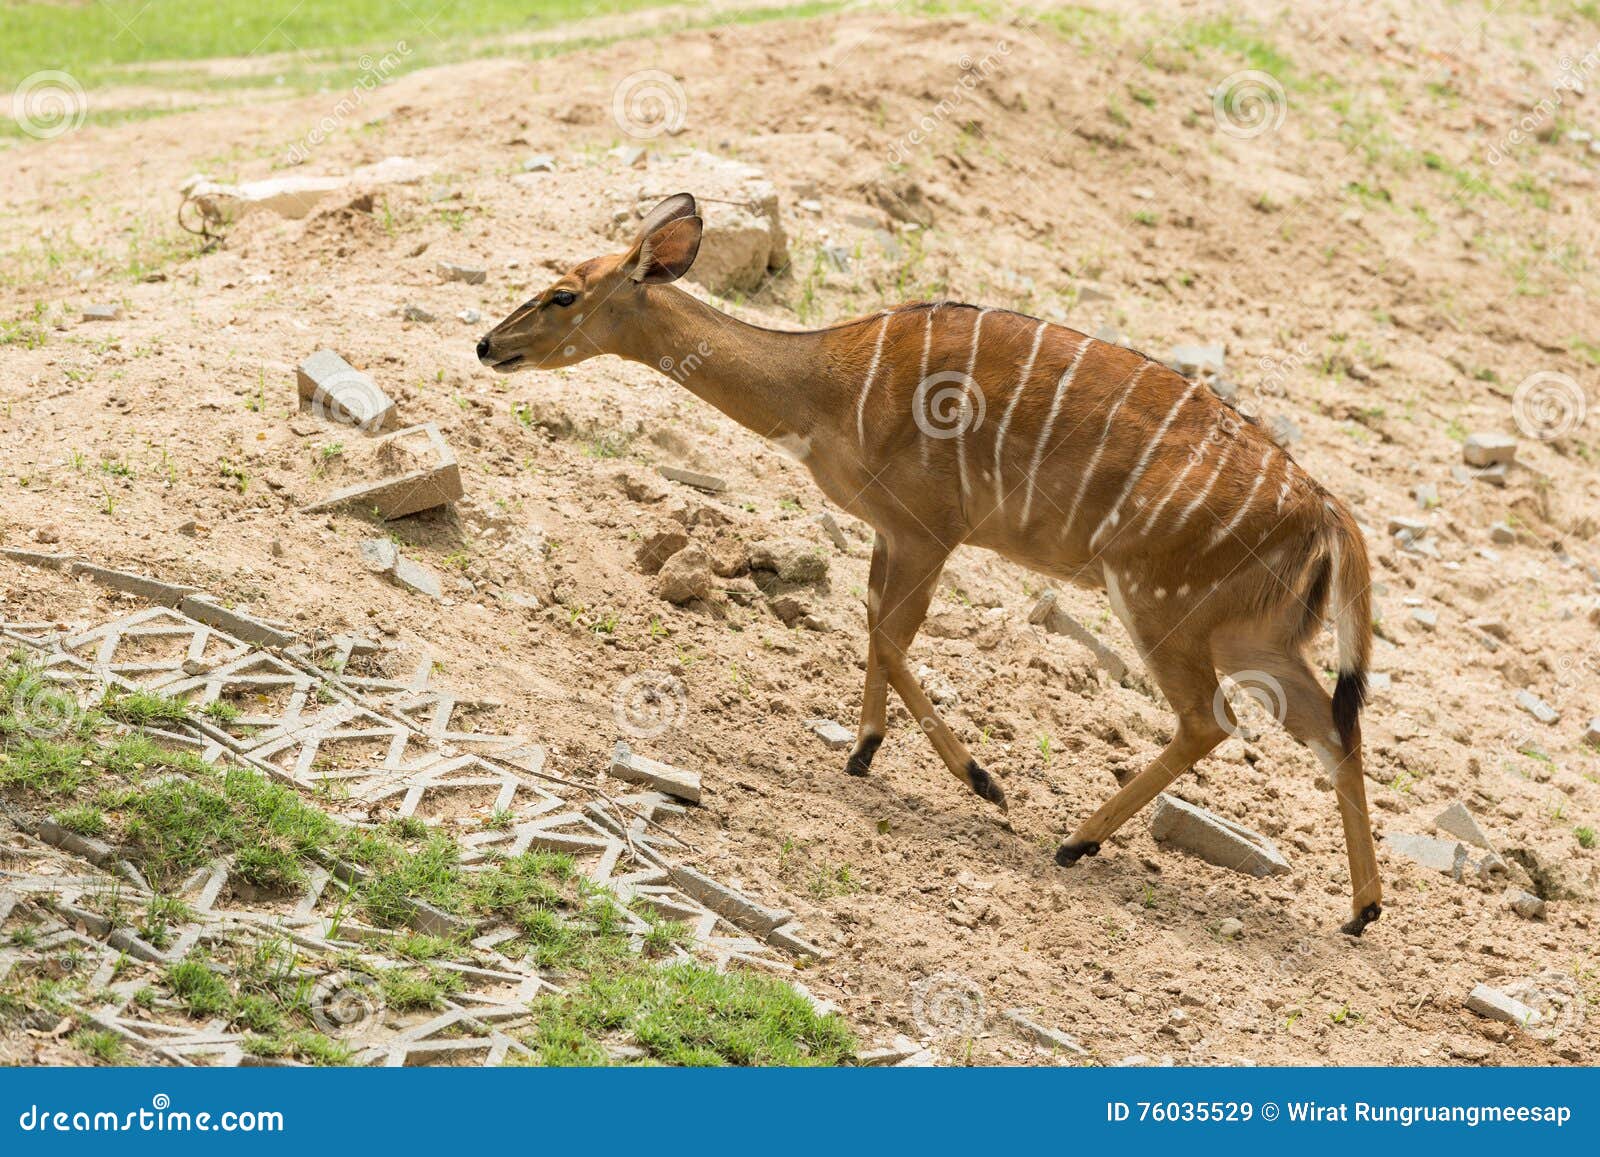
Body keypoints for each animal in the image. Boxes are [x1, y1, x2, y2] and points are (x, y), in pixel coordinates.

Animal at [477, 193, 1382, 936]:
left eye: (563, 294)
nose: (488, 344)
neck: (827, 385)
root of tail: (1328, 514)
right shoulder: (891, 533)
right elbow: (877, 624)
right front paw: (864, 750)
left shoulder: (927, 529)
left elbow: (890, 630)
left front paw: (981, 779)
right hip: (1253, 636)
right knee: (1334, 726)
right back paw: (1360, 911)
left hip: (1159, 600)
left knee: (1212, 719)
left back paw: (1073, 841)